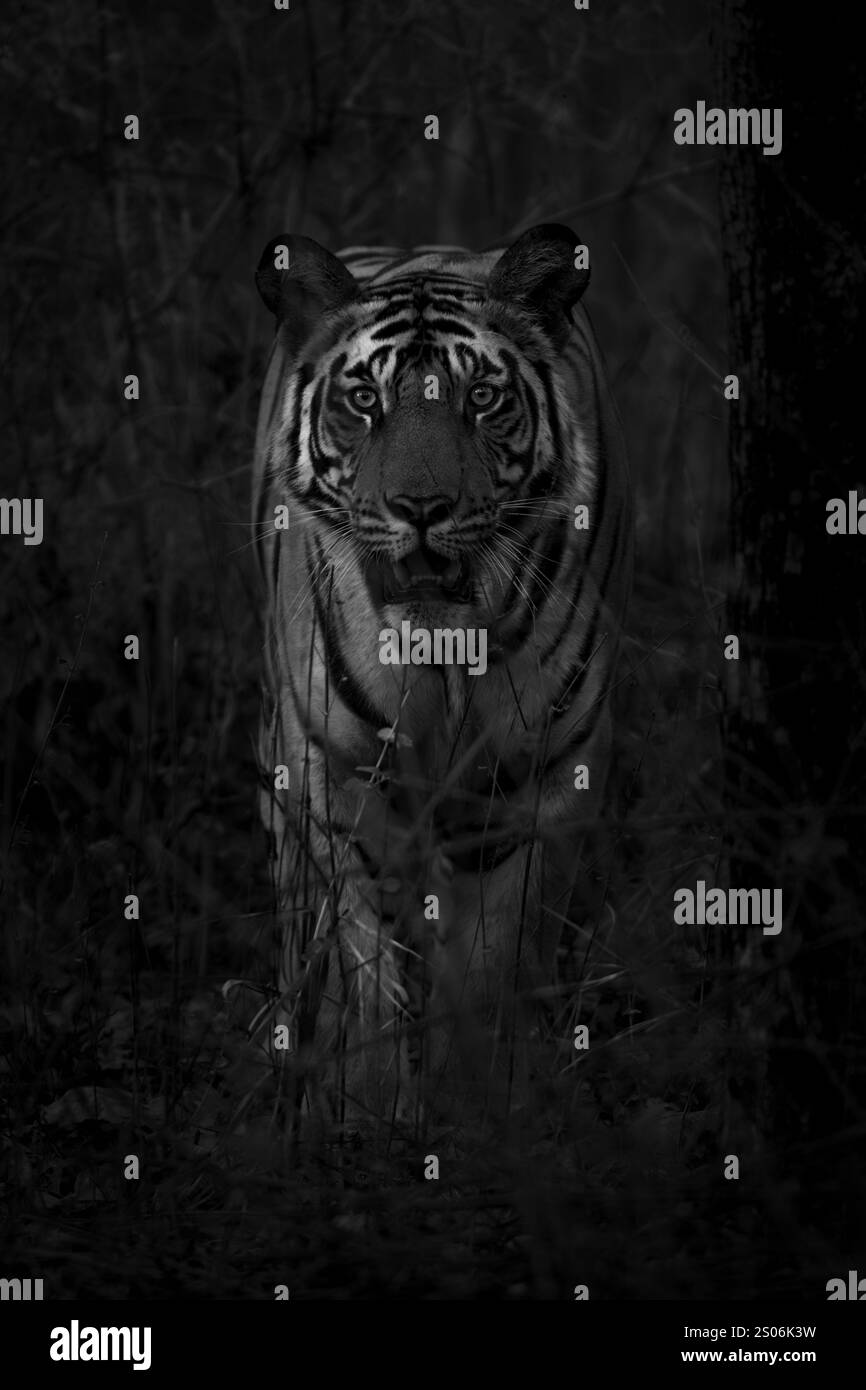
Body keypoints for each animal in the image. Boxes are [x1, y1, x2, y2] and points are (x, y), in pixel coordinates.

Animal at [251, 224, 632, 1132]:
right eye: (364, 400)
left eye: (483, 398)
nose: (420, 507)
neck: (441, 652)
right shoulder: (337, 776)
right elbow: (367, 962)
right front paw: (367, 1110)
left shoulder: (545, 782)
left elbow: (494, 961)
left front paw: (484, 1107)